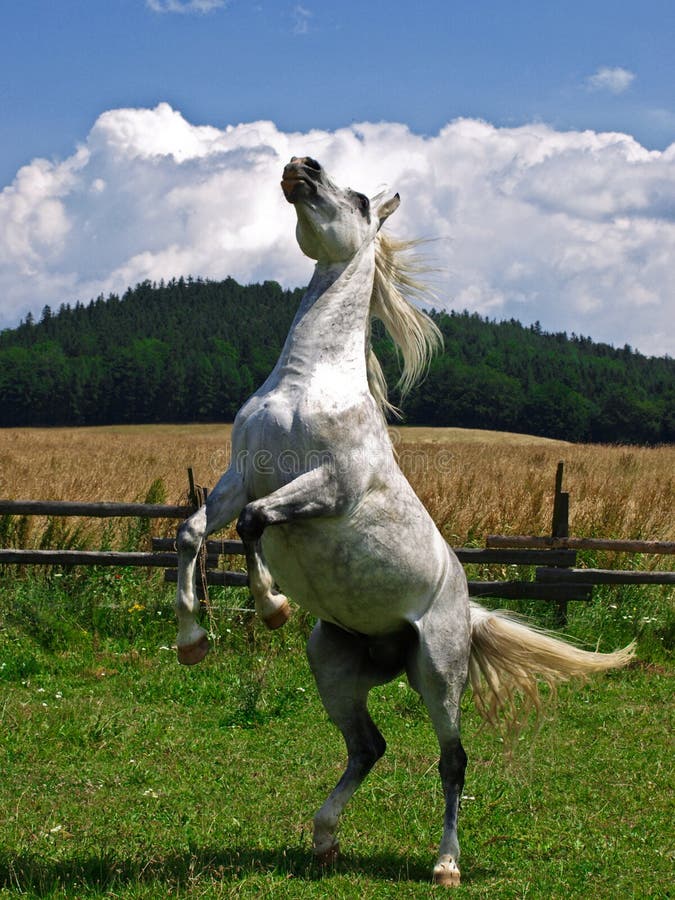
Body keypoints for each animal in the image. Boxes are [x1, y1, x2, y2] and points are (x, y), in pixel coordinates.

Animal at [174, 156, 634, 887]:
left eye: (360, 198)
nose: (300, 165)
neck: (306, 386)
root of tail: (467, 610)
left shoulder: (327, 488)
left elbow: (253, 523)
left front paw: (271, 605)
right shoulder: (239, 474)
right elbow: (195, 530)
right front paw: (192, 640)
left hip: (437, 674)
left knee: (453, 760)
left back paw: (445, 865)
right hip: (334, 666)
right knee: (369, 746)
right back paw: (325, 839)